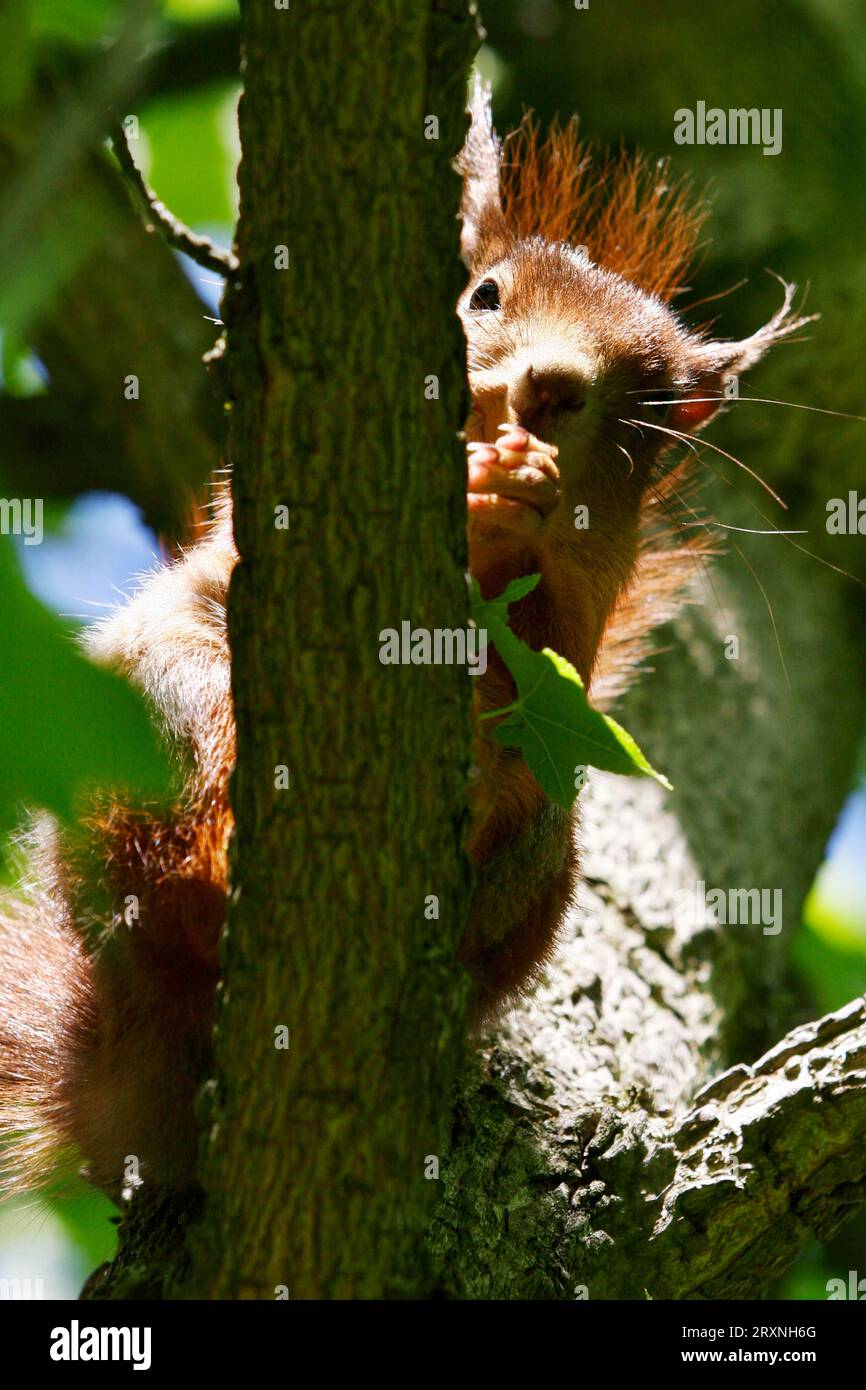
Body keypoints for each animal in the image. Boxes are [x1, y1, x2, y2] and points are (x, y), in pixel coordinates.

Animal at [0, 83, 809, 1198]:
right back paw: (217, 863)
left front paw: (522, 497)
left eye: (648, 412)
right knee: (177, 843)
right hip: (163, 700)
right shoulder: (259, 512)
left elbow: (549, 647)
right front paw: (482, 481)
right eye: (483, 295)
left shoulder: (576, 619)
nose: (550, 387)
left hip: (538, 841)